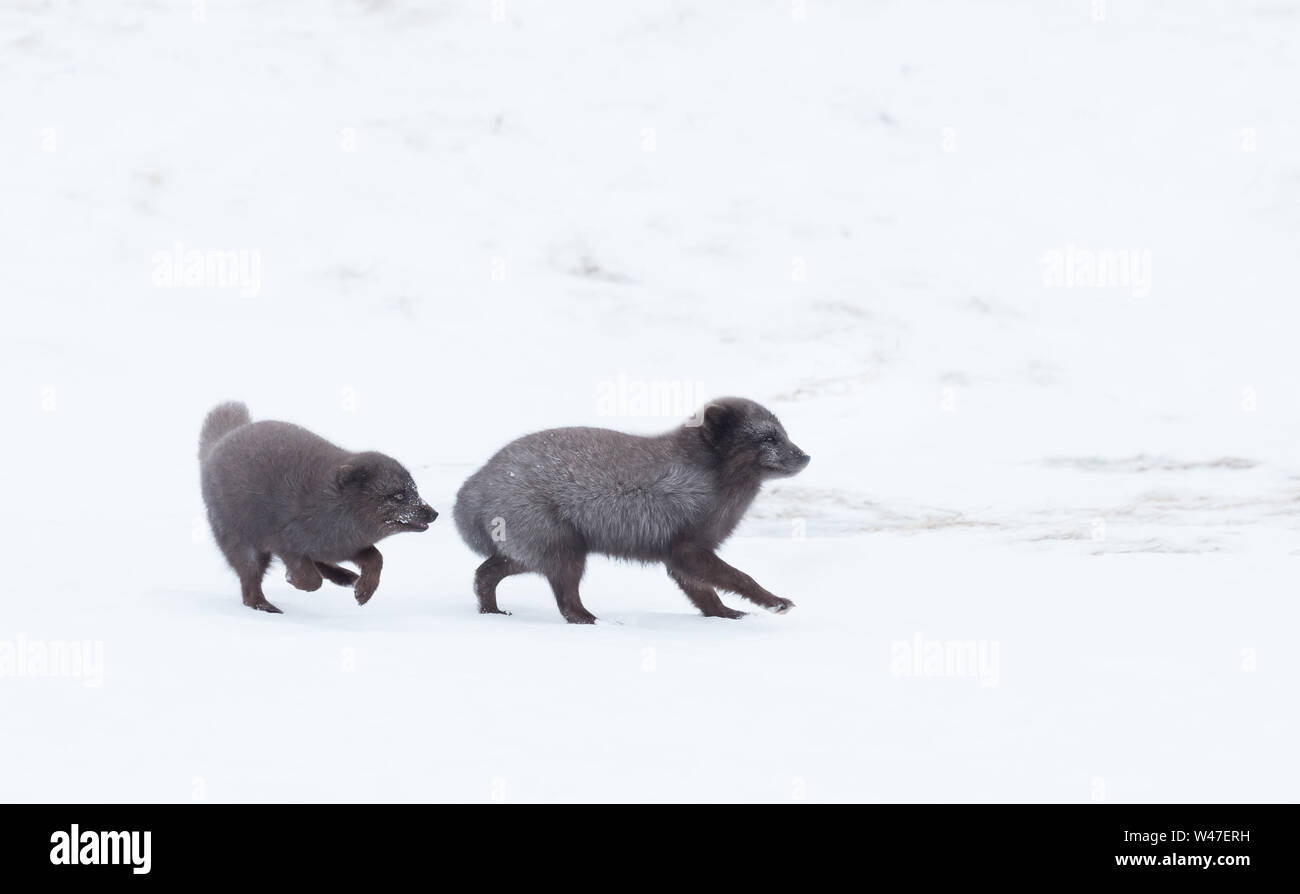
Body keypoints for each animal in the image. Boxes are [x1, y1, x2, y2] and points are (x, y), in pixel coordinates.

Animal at [198, 402, 436, 613]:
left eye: (415, 490)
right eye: (398, 495)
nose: (434, 513)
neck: (327, 504)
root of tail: (218, 443)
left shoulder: (346, 545)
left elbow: (376, 558)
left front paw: (365, 589)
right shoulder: (284, 540)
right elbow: (311, 579)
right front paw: (295, 580)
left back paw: (346, 577)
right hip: (241, 542)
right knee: (249, 586)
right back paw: (263, 605)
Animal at [453, 397, 810, 623]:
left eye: (784, 433)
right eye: (768, 437)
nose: (806, 456)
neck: (709, 477)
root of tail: (472, 489)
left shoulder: (679, 556)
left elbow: (705, 593)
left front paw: (726, 616)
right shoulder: (687, 548)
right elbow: (739, 577)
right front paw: (776, 603)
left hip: (527, 551)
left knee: (484, 574)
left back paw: (493, 614)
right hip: (563, 549)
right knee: (565, 601)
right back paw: (591, 620)